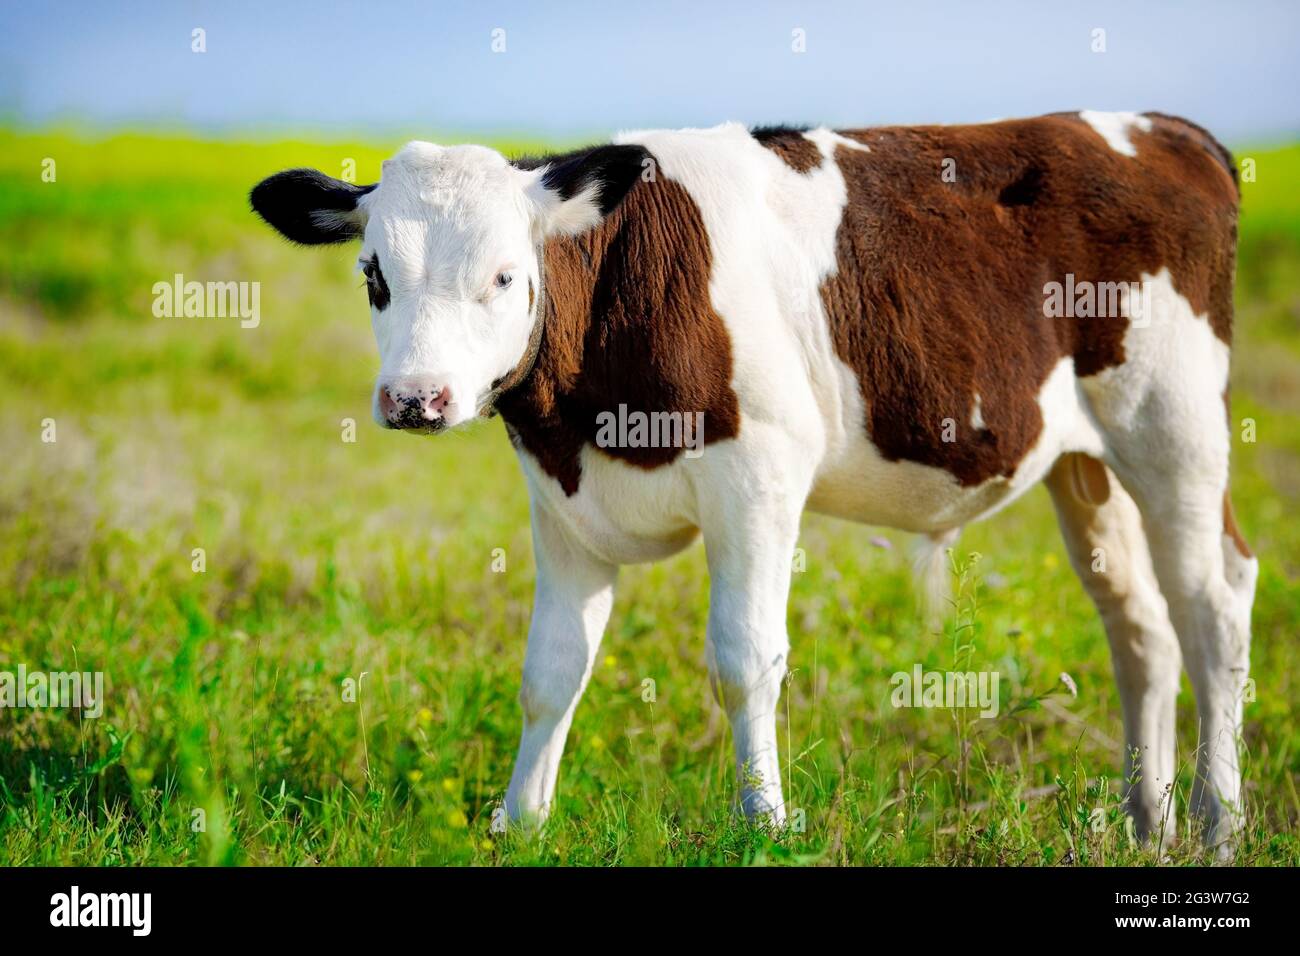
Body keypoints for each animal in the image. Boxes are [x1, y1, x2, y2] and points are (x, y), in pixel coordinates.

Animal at [250, 110, 1255, 854]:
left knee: (1213, 602)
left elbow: (745, 660)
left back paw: (1218, 824)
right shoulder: (562, 503)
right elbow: (551, 672)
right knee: (1140, 626)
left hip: (1176, 427)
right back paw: (1147, 822)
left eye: (503, 275)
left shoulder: (762, 473)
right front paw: (520, 824)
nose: (415, 399)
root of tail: (1163, 129)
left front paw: (764, 823)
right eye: (374, 277)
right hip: (1088, 465)